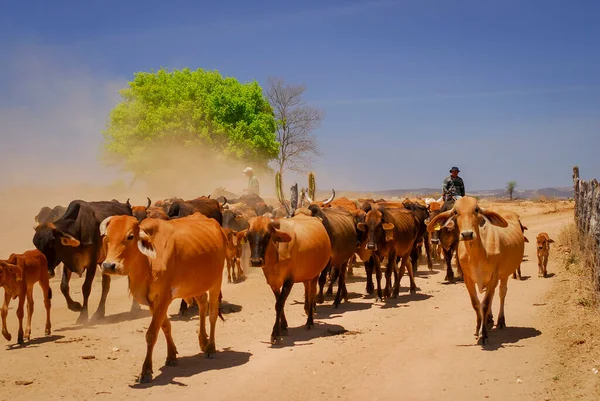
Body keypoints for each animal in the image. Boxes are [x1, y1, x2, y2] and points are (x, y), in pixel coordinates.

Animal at [99, 212, 226, 382]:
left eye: (130, 236)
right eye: (107, 236)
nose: (109, 266)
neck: (148, 262)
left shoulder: (164, 298)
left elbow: (152, 333)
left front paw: (146, 370)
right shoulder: (152, 302)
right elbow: (165, 326)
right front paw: (171, 355)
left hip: (216, 282)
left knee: (212, 314)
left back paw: (210, 347)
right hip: (195, 285)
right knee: (202, 303)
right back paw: (203, 340)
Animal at [236, 216, 330, 344]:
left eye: (268, 236)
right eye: (249, 236)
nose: (256, 261)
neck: (275, 257)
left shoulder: (289, 281)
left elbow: (279, 304)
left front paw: (275, 333)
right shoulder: (273, 282)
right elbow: (279, 302)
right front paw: (283, 327)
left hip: (315, 274)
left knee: (311, 294)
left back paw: (310, 321)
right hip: (306, 276)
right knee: (307, 289)